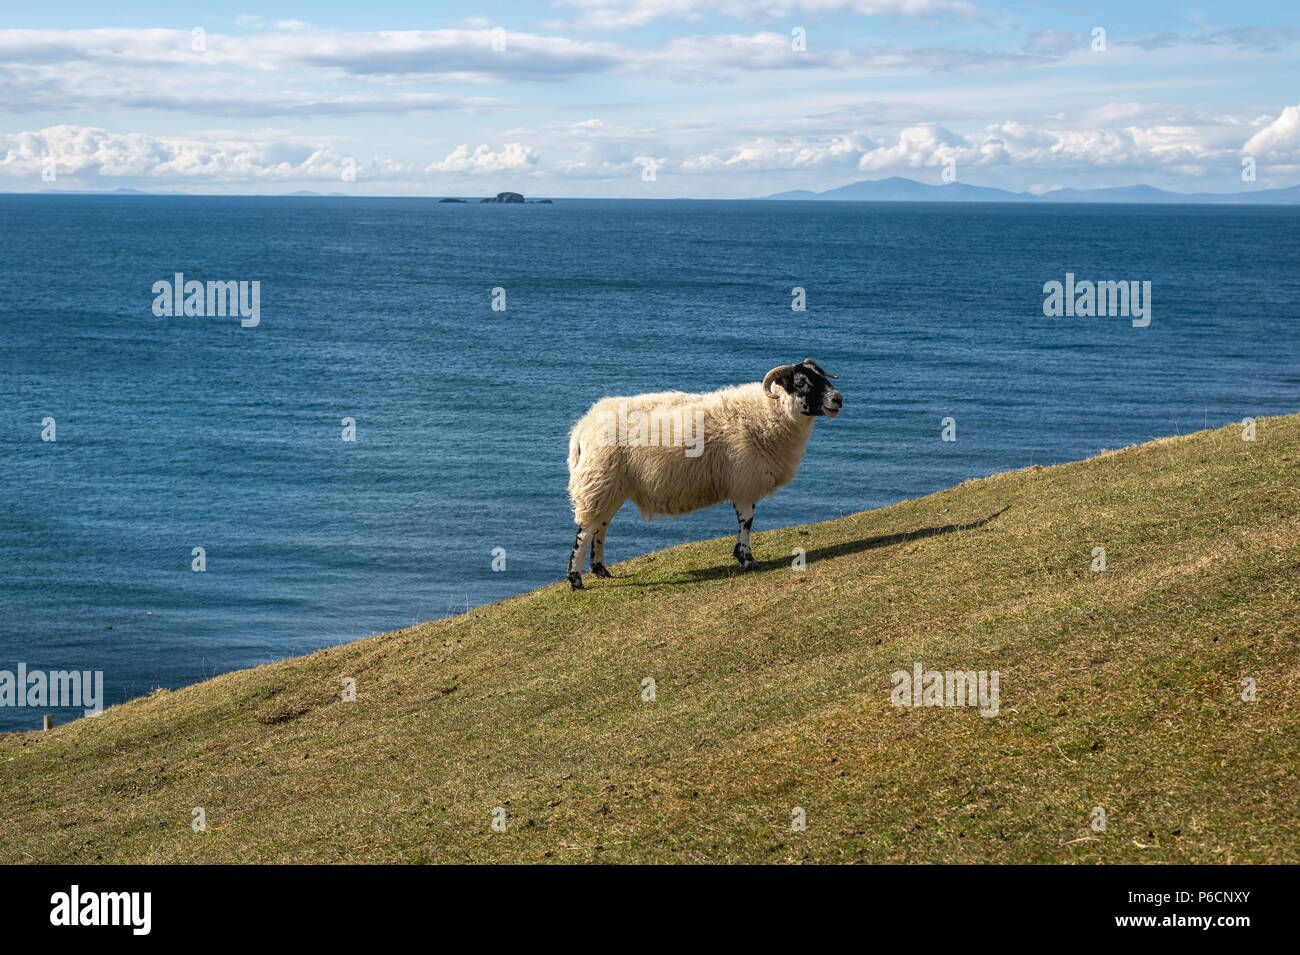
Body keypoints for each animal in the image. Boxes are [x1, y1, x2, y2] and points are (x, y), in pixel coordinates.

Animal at [565, 359, 843, 589]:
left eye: (822, 375)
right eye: (801, 381)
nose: (838, 399)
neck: (766, 413)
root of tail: (583, 427)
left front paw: (742, 557)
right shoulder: (743, 483)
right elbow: (747, 522)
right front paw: (747, 560)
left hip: (611, 485)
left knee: (600, 525)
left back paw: (600, 570)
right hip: (598, 480)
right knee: (585, 530)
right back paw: (576, 580)